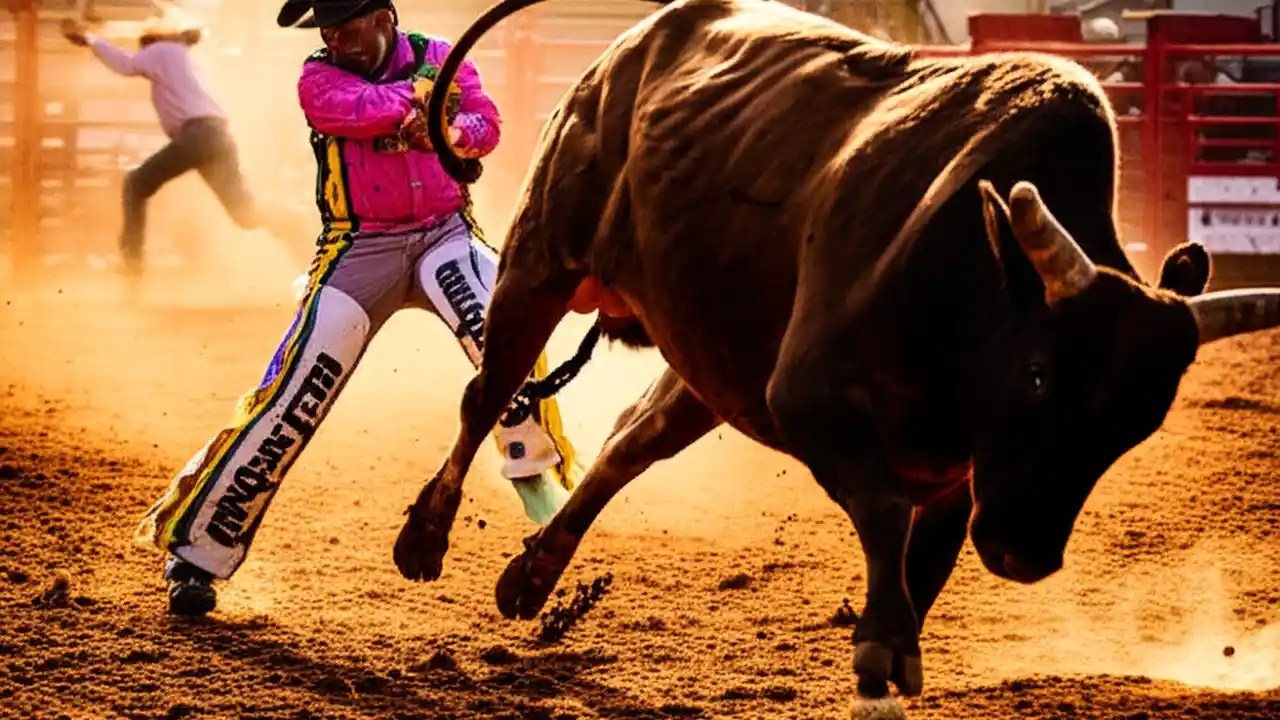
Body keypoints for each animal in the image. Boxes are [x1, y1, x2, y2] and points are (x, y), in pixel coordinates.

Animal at [390, 0, 1280, 703]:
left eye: (1138, 424)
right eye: (1037, 374)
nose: (1022, 552)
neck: (973, 277)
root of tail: (635, 41)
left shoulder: (957, 475)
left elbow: (923, 565)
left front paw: (889, 643)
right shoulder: (809, 399)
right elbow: (882, 512)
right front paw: (883, 641)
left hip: (711, 357)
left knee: (631, 439)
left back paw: (534, 576)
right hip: (542, 257)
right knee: (490, 392)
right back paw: (425, 538)